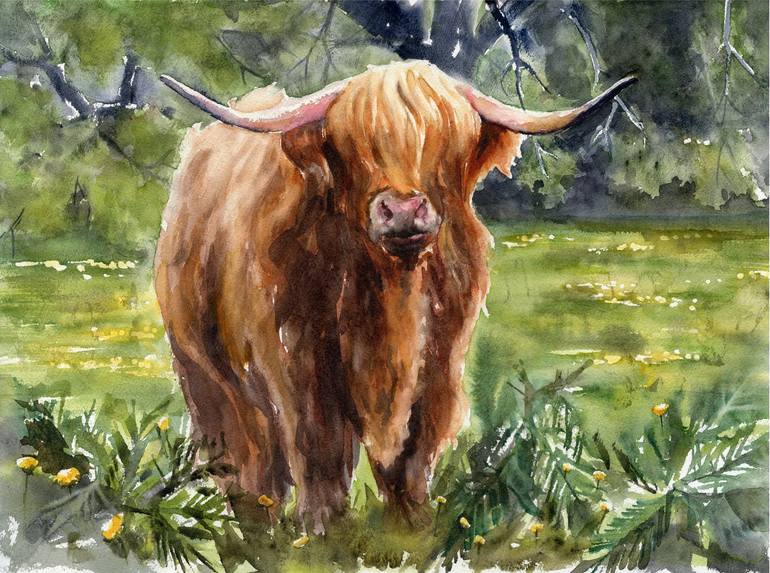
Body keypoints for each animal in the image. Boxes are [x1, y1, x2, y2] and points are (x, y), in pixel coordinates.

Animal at [154, 61, 634, 530]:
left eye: (450, 144)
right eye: (351, 145)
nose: (402, 210)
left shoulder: (441, 362)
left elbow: (413, 449)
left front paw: (413, 524)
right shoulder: (294, 360)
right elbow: (314, 443)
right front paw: (322, 528)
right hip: (204, 371)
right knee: (247, 458)